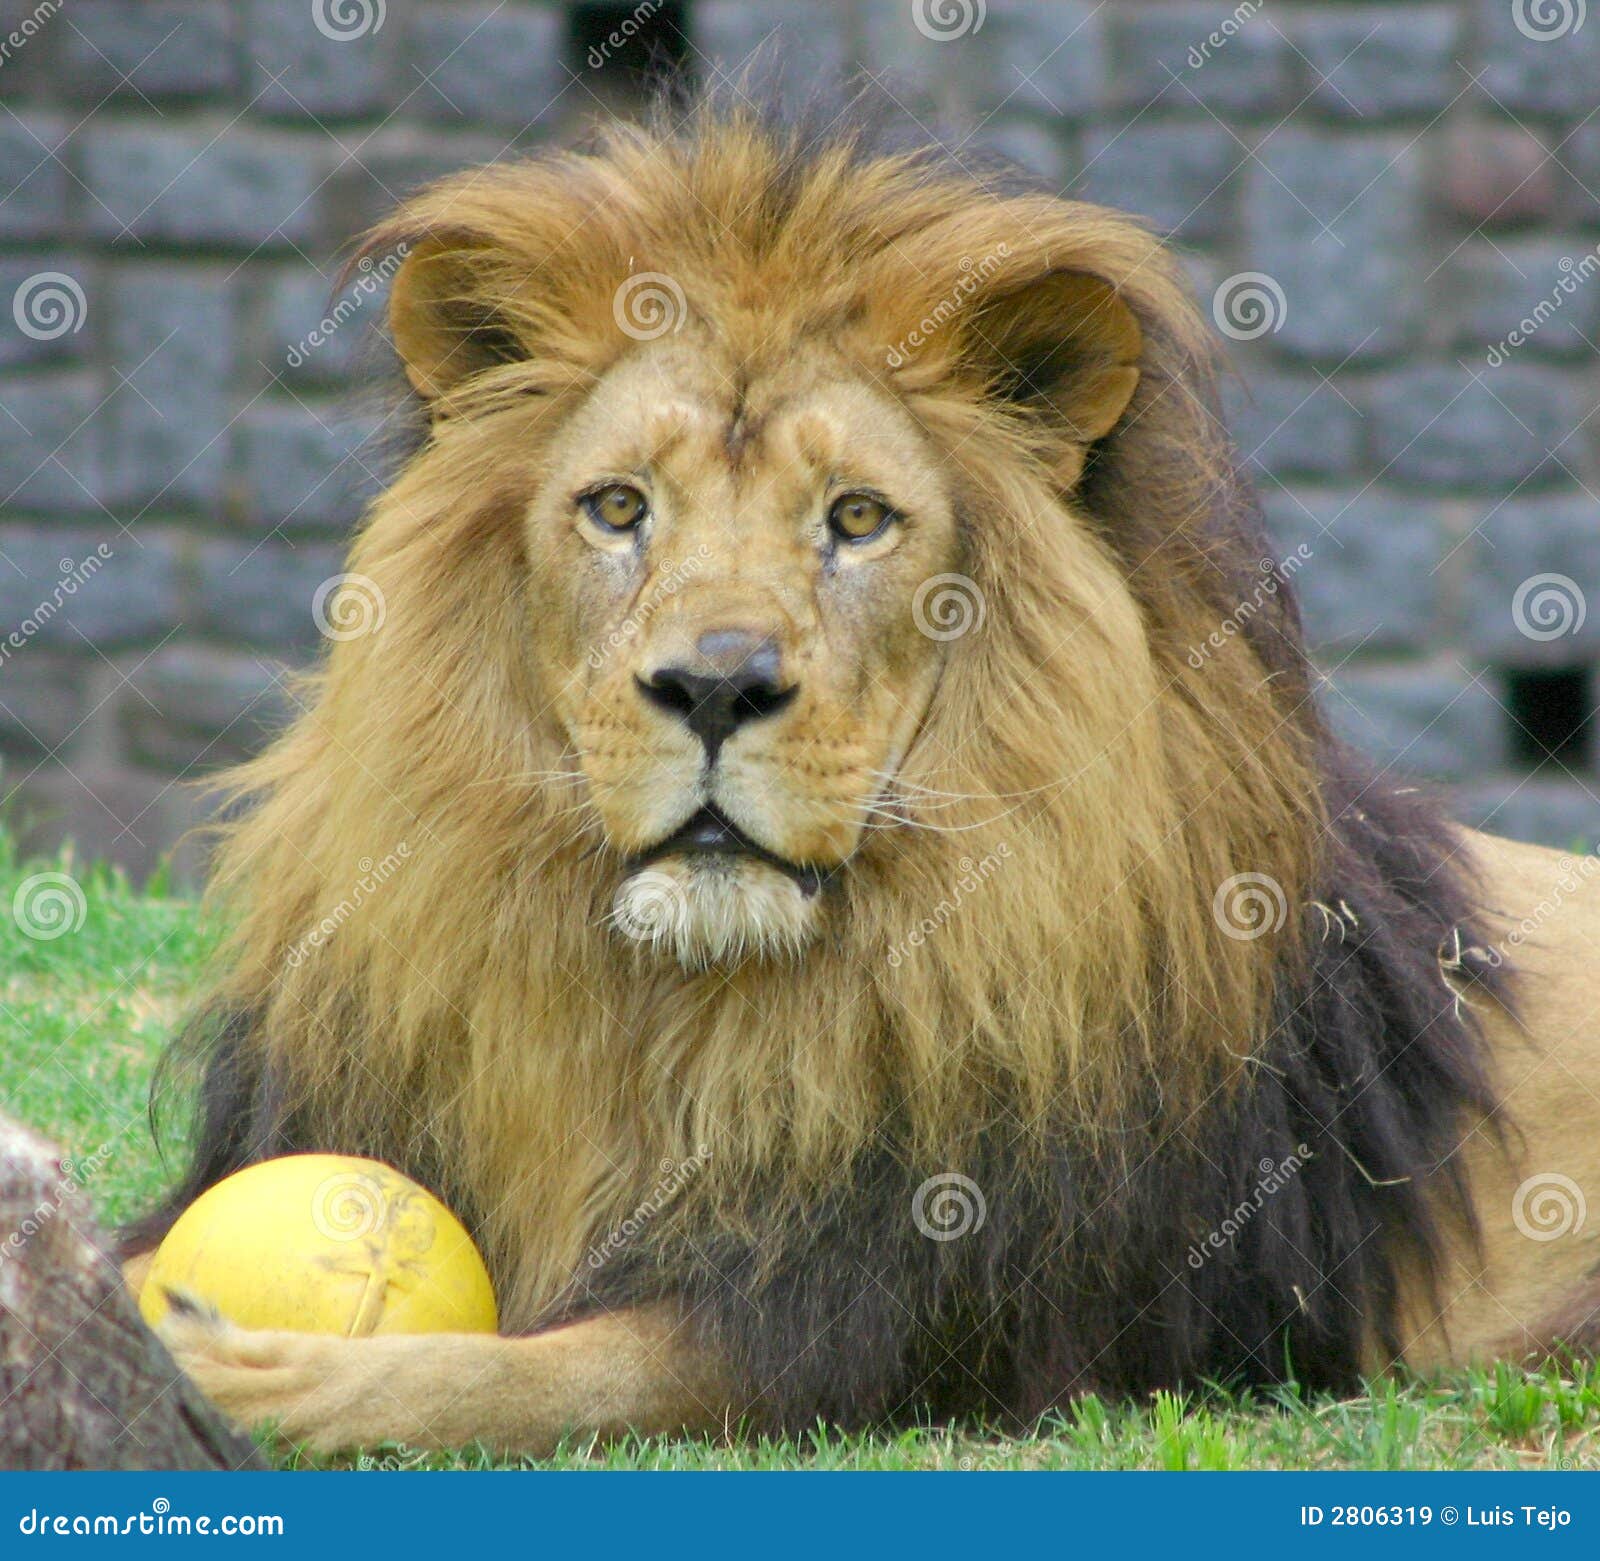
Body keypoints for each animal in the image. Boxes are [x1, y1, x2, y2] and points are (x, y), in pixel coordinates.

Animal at [124, 93, 1600, 1457]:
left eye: (856, 520)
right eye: (618, 508)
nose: (716, 687)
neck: (662, 1012)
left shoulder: (887, 1313)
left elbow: (538, 1371)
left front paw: (262, 1372)